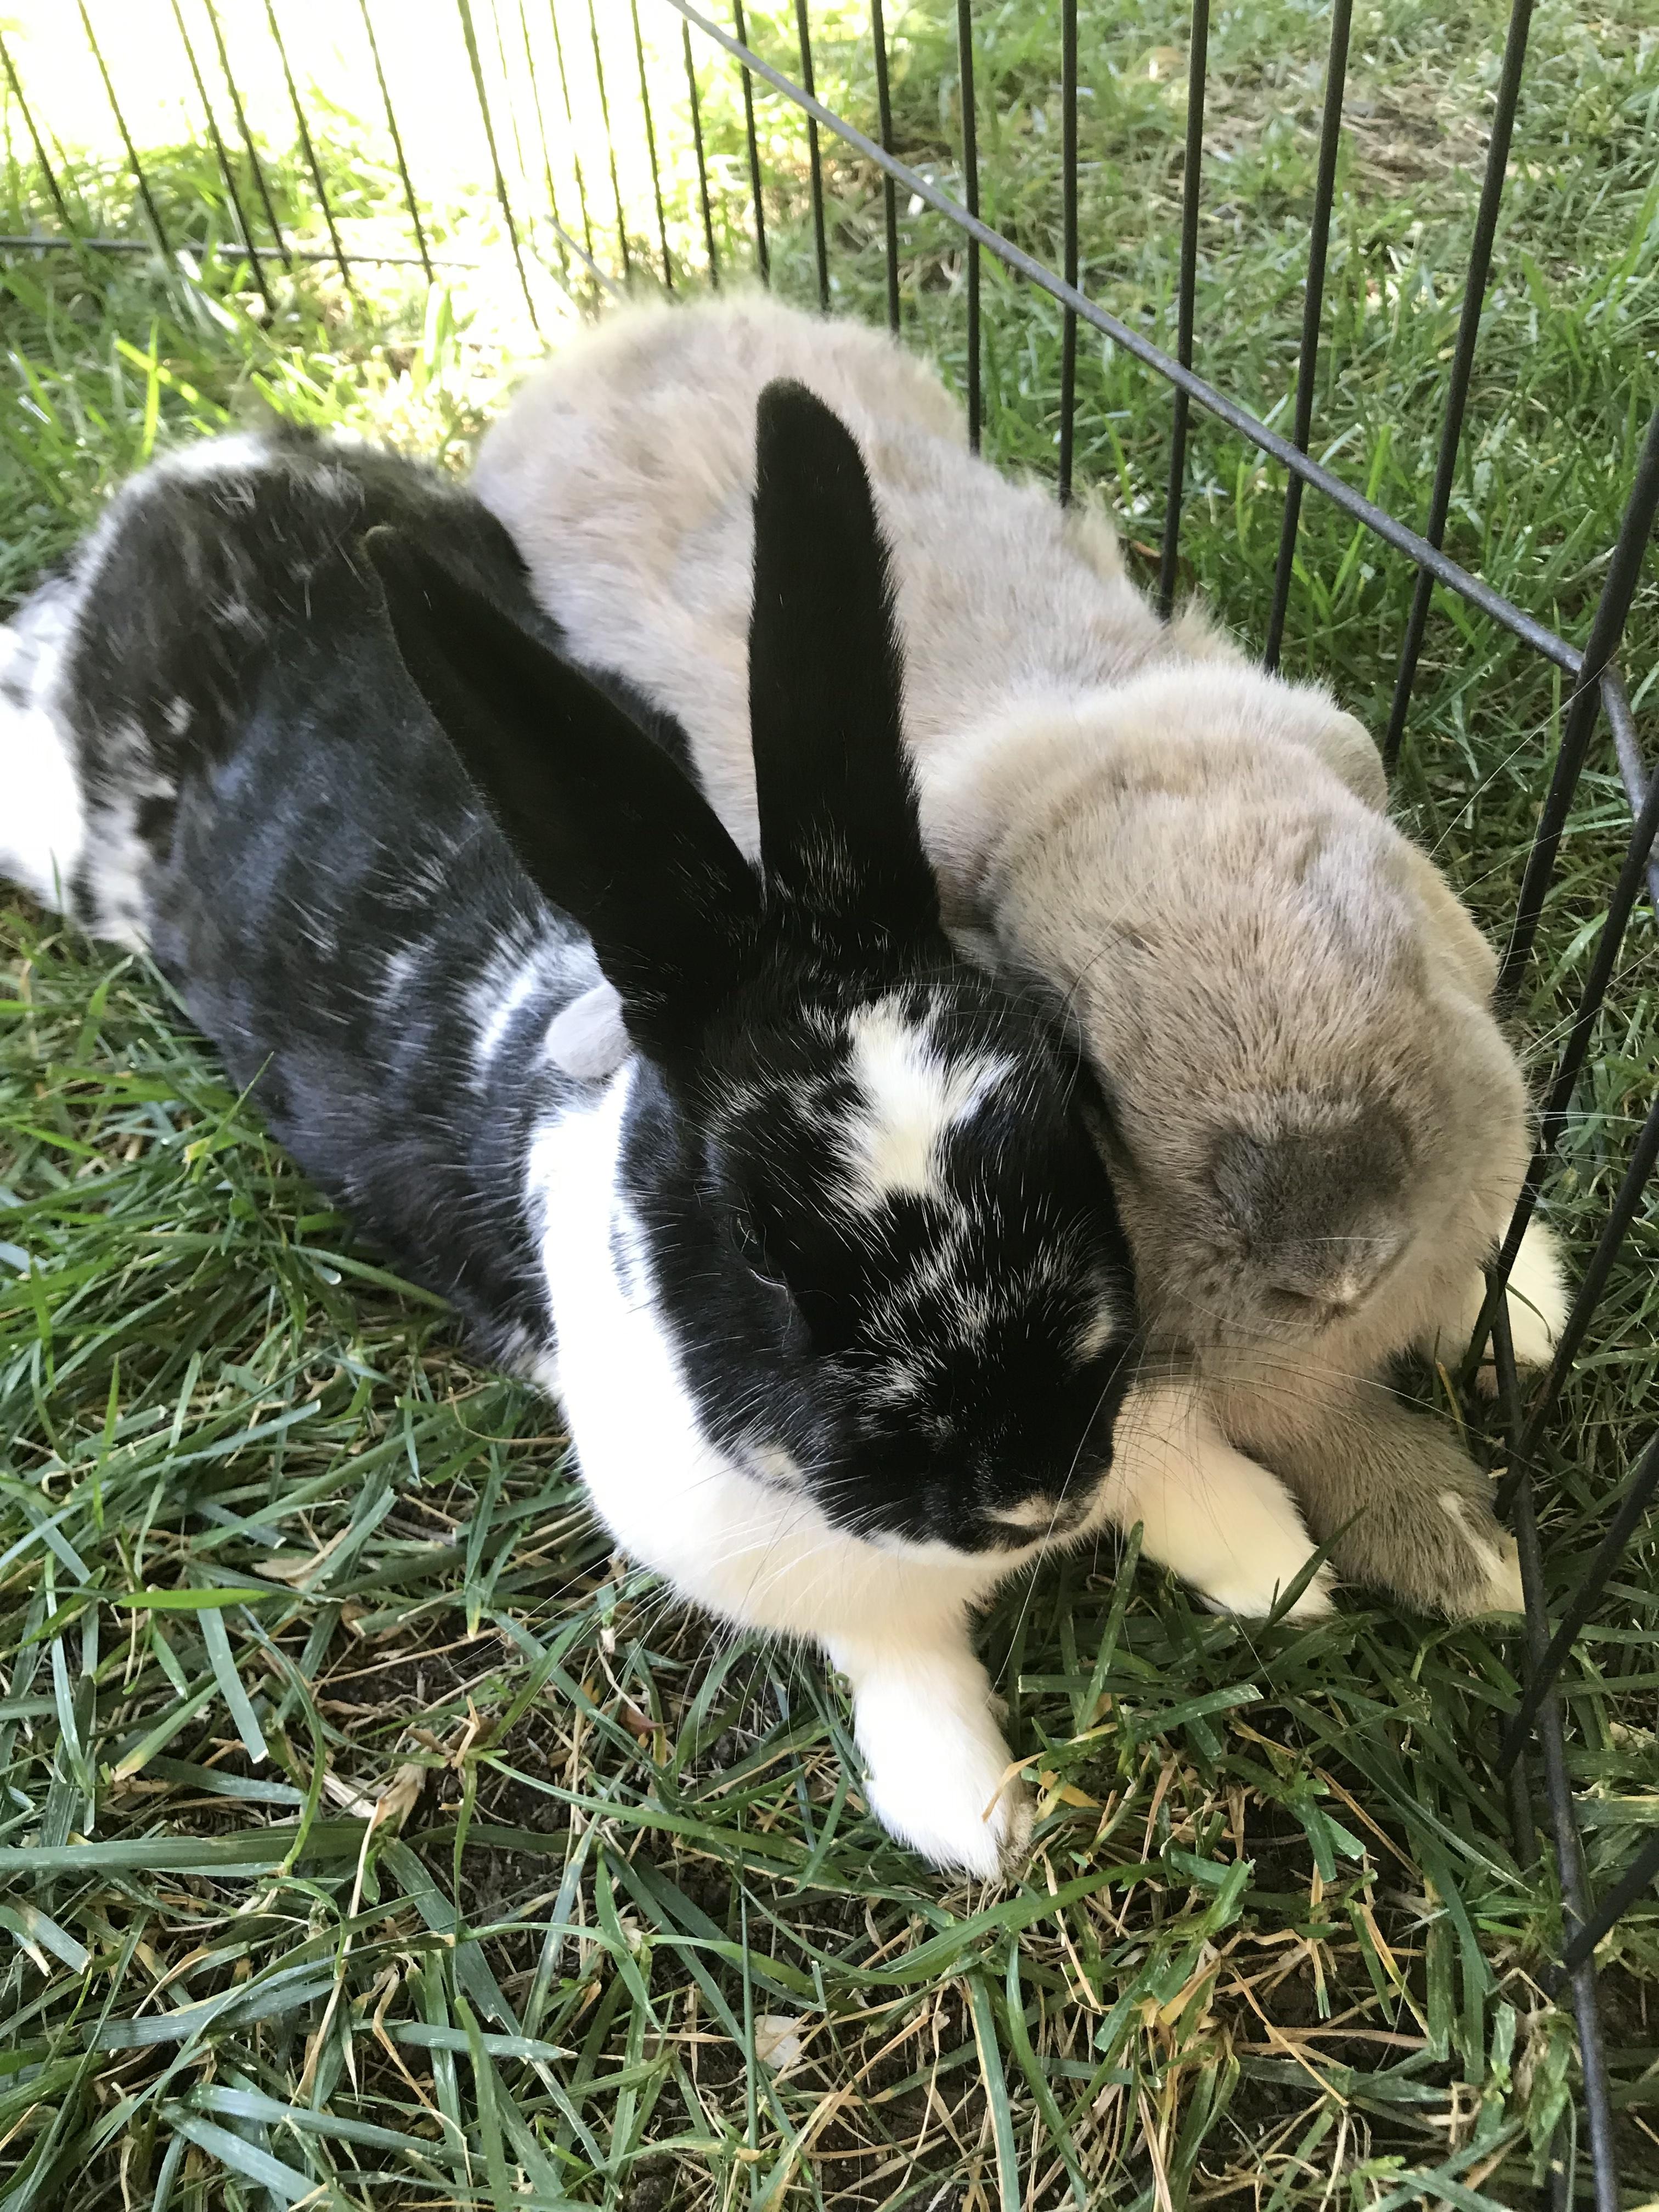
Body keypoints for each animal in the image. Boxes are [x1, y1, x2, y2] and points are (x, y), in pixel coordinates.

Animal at [0, 396, 1334, 1881]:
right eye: (757, 1243)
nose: (1028, 1484)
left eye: (1065, 1086)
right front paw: (969, 1814)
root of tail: (181, 485)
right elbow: (893, 1644)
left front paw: (1271, 1560)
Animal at [470, 294, 1570, 1624]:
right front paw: (1468, 1557)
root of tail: (620, 331)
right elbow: (1323, 1436)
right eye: (1080, 1064)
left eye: (1394, 918)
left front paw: (1531, 1309)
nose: (1344, 1254)